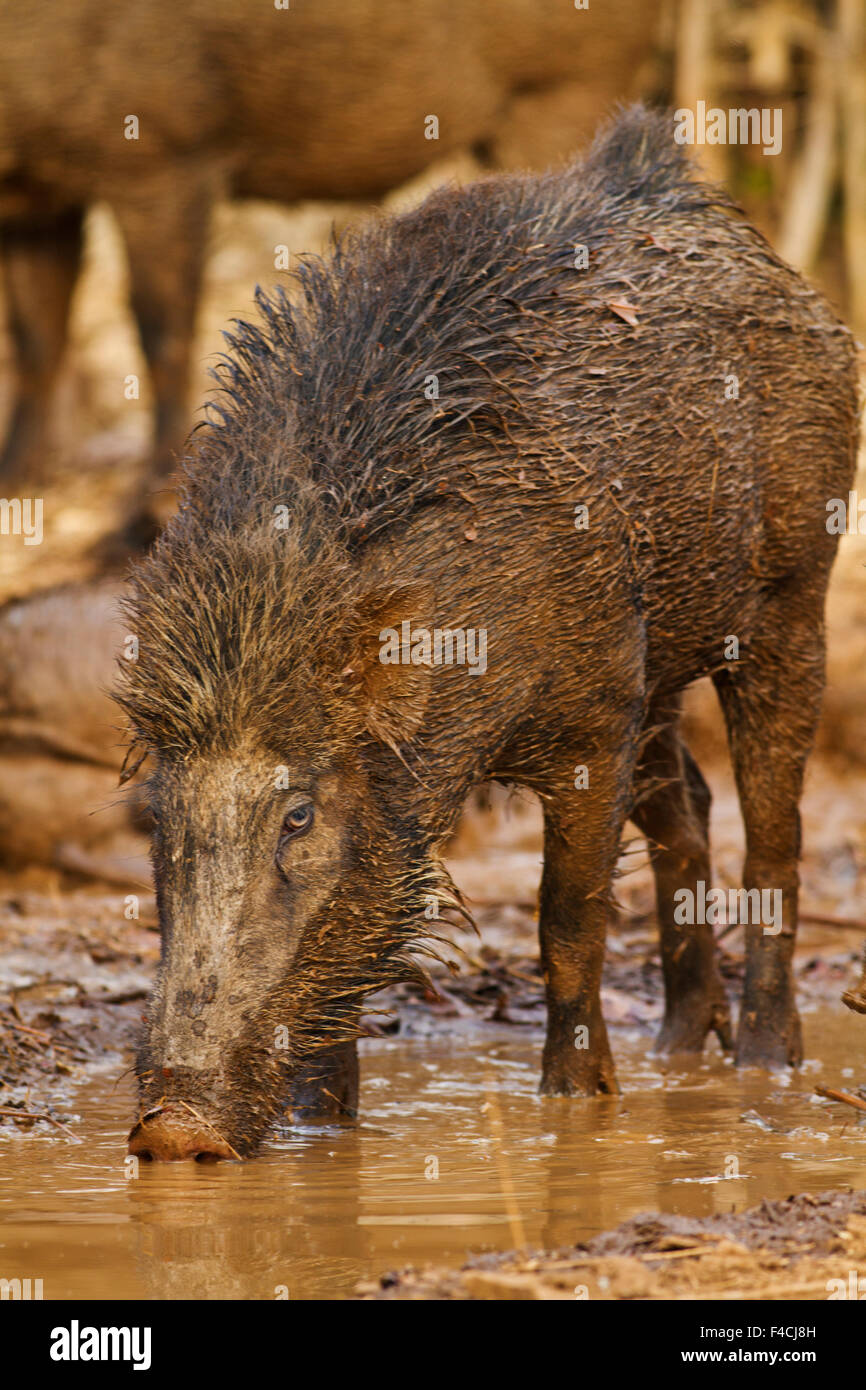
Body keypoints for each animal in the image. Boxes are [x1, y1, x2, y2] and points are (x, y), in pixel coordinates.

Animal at [0, 0, 662, 540]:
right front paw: (18, 484)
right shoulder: (38, 204)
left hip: (560, 92)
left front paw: (137, 525)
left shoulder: (162, 159)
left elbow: (160, 332)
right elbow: (36, 336)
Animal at [118, 106, 859, 1160]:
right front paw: (320, 1138)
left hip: (793, 594)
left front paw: (579, 1108)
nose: (172, 1130)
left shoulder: (592, 717)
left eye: (298, 815)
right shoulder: (610, 694)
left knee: (773, 835)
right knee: (691, 810)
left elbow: (568, 919)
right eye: (159, 817)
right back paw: (681, 1050)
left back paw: (764, 1064)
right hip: (658, 667)